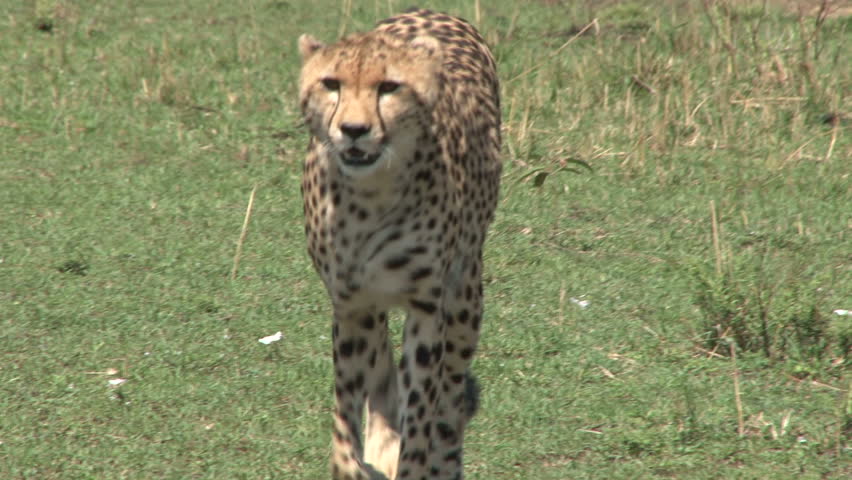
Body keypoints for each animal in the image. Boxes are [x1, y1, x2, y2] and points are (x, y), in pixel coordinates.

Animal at [297, 8, 501, 480]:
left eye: (389, 87)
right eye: (330, 83)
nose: (354, 130)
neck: (370, 195)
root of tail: (435, 13)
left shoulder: (427, 307)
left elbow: (423, 409)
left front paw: (414, 461)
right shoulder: (352, 303)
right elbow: (348, 410)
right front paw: (354, 461)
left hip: (464, 296)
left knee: (449, 395)